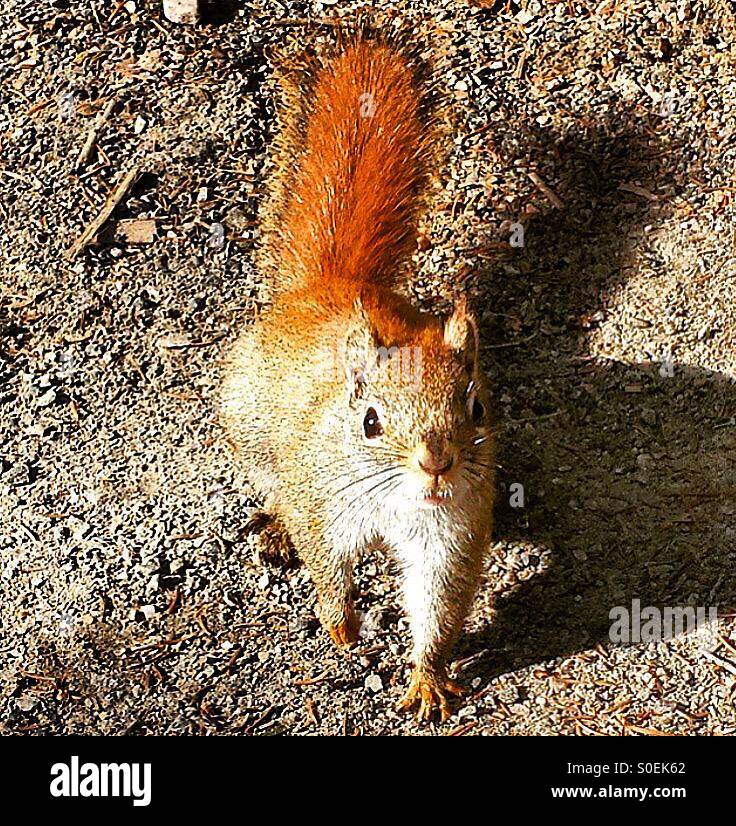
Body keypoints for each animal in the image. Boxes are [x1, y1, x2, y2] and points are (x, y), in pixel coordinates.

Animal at [220, 30, 495, 722]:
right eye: (370, 422)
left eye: (476, 409)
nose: (436, 463)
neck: (396, 505)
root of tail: (330, 284)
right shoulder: (324, 505)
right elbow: (326, 567)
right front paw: (341, 625)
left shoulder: (450, 537)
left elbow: (438, 608)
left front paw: (427, 679)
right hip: (250, 435)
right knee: (273, 489)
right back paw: (274, 527)